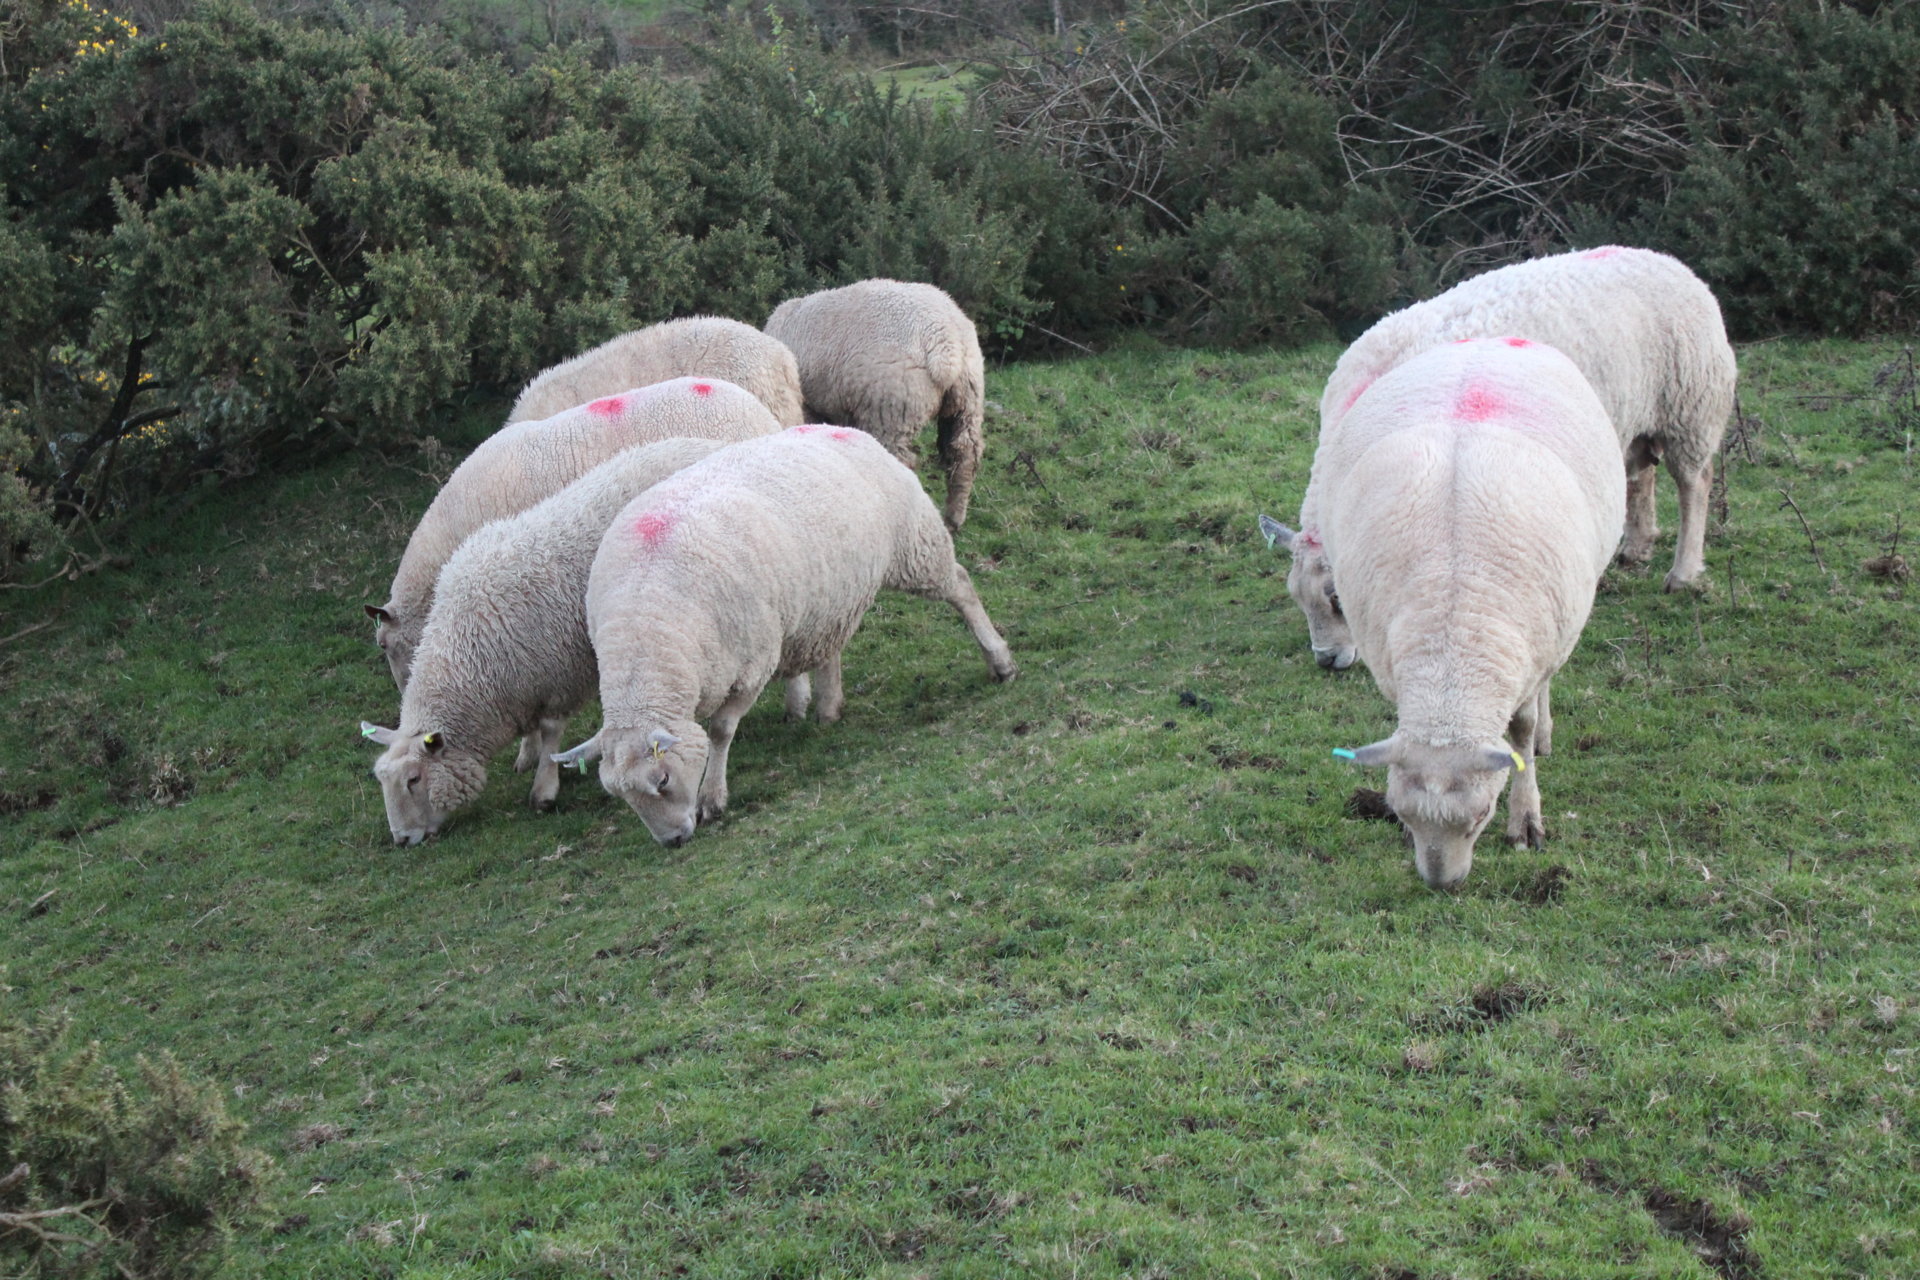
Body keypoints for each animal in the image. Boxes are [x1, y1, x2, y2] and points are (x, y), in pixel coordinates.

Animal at [358, 436, 805, 845]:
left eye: (414, 779)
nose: (402, 840)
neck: (472, 653)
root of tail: (712, 442)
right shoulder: (522, 681)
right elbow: (533, 729)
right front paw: (527, 755)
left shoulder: (559, 673)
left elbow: (552, 730)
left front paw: (544, 788)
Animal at [553, 424, 1018, 848]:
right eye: (621, 796)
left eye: (663, 780)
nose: (673, 842)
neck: (645, 628)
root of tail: (841, 429)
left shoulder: (753, 661)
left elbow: (720, 730)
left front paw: (712, 798)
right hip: (826, 598)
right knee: (830, 648)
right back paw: (828, 708)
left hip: (915, 544)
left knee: (960, 587)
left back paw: (1000, 661)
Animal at [764, 279, 987, 531]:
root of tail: (946, 337)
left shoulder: (810, 406)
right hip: (967, 400)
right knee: (964, 455)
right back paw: (954, 518)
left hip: (891, 408)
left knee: (903, 460)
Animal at [1264, 245, 1735, 670]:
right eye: (1297, 599)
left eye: (1337, 598)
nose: (1328, 661)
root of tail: (1671, 262)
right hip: (1636, 416)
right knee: (1640, 477)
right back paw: (1636, 548)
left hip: (1691, 405)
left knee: (1695, 484)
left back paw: (1682, 573)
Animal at [1318, 337, 1624, 891]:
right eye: (1399, 812)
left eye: (1482, 816)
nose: (1443, 884)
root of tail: (1487, 340)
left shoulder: (1528, 656)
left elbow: (1521, 730)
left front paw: (1527, 820)